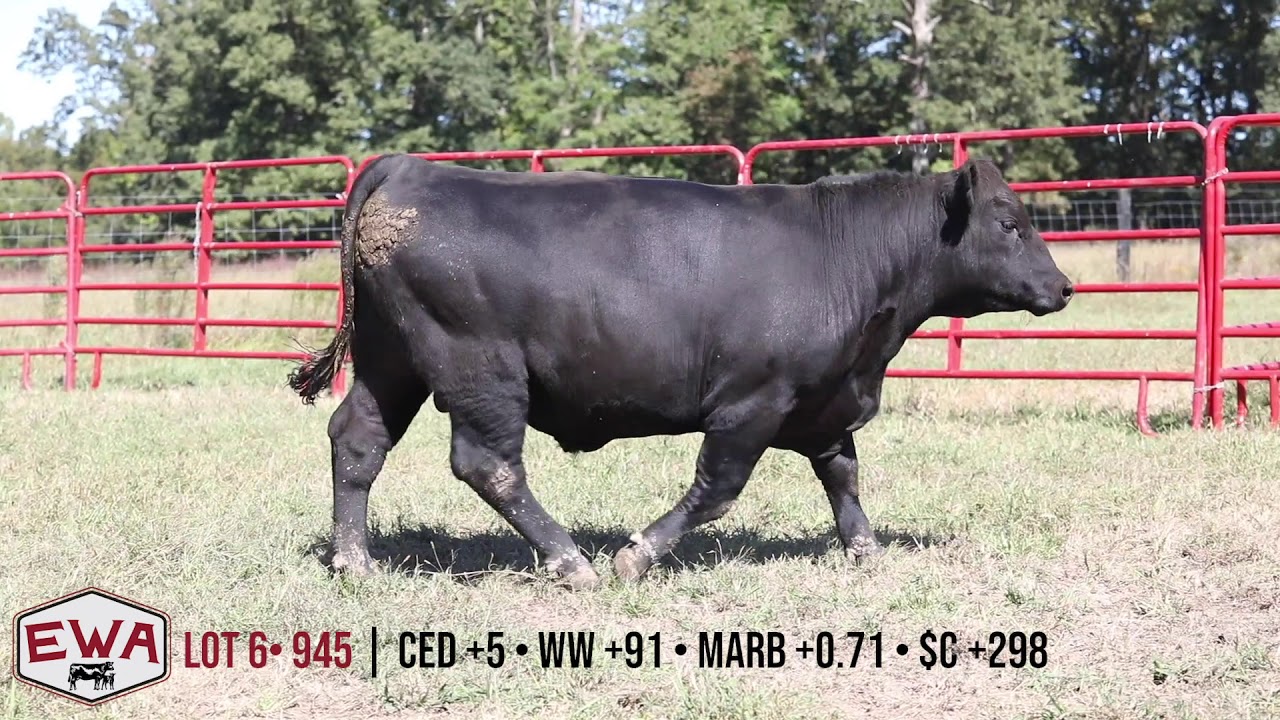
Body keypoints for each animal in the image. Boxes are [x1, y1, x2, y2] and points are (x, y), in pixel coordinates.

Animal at [287, 154, 1073, 590]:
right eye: (1010, 222)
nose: (1064, 286)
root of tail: (415, 167)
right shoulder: (751, 403)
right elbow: (718, 489)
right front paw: (636, 557)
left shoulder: (824, 400)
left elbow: (843, 478)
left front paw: (866, 552)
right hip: (480, 369)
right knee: (491, 465)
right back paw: (571, 561)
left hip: (390, 362)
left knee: (357, 439)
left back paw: (355, 561)